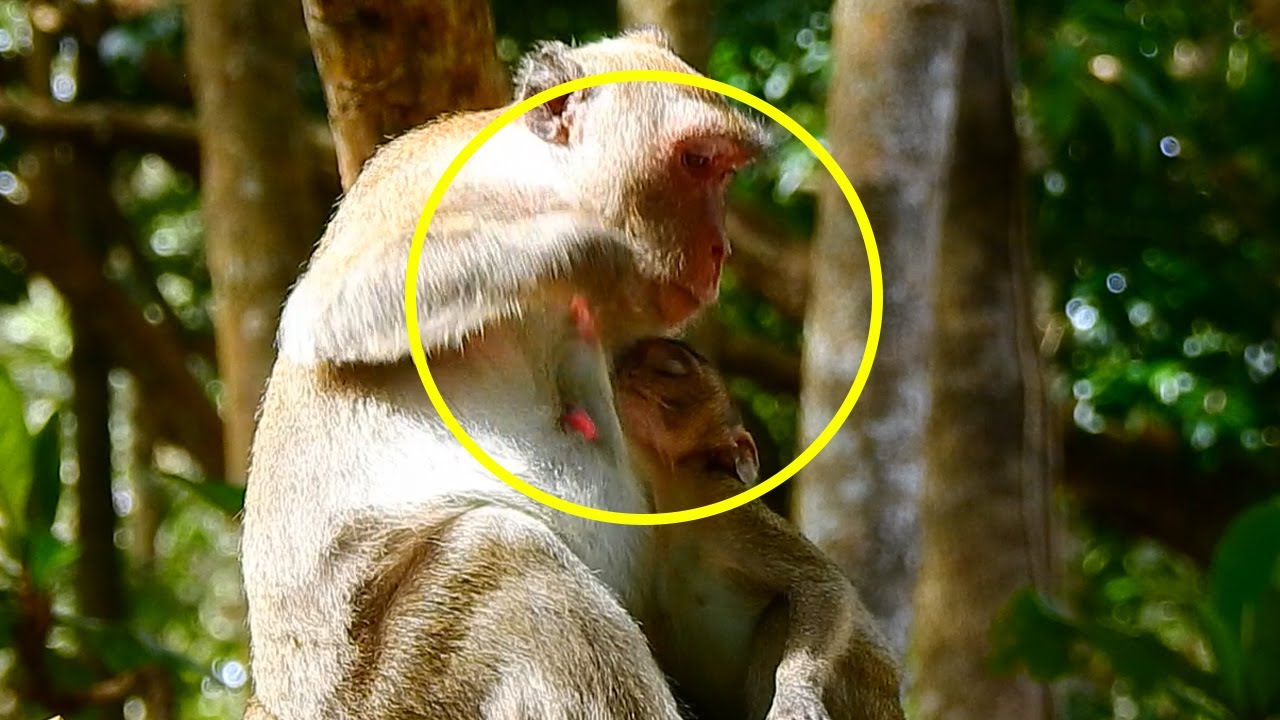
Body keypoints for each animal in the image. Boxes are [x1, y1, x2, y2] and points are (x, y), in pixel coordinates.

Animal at [239, 29, 768, 720]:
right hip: (392, 687)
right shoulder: (425, 177)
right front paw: (594, 248)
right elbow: (335, 308)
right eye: (697, 162)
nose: (720, 249)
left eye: (726, 171)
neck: (535, 182)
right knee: (503, 555)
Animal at [612, 338, 906, 720]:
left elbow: (822, 584)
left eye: (670, 367)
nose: (626, 368)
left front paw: (795, 695)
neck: (664, 491)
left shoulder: (723, 505)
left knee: (780, 616)